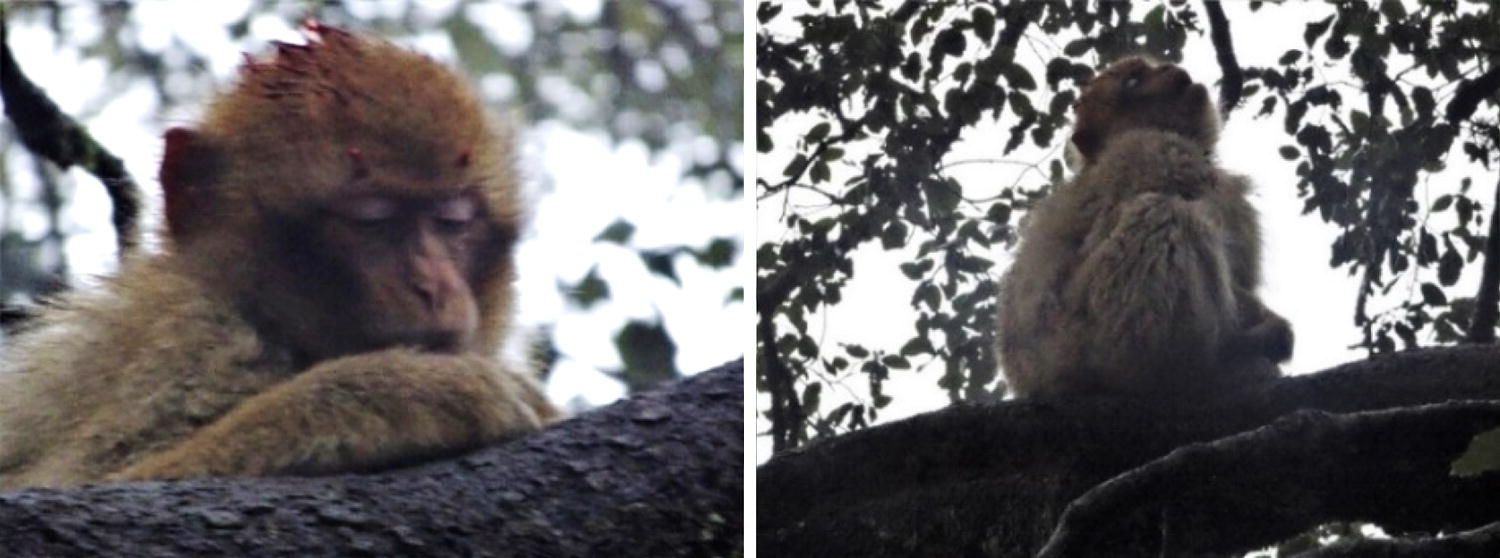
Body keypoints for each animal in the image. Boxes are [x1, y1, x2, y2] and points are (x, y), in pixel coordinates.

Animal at [0, 22, 561, 489]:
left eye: (452, 220)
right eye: (371, 220)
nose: (434, 286)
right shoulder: (187, 344)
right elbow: (63, 483)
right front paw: (407, 391)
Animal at [995, 56, 1293, 400]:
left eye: (1150, 67)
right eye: (1133, 82)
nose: (1168, 68)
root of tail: (1039, 382)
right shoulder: (1151, 148)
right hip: (1095, 331)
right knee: (1165, 211)